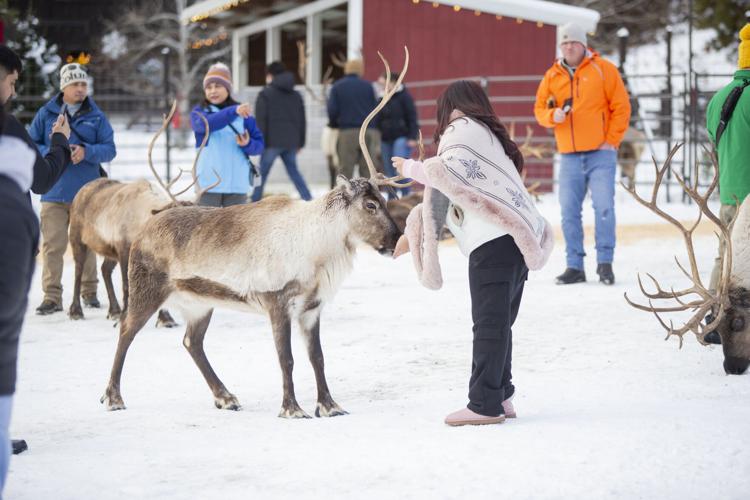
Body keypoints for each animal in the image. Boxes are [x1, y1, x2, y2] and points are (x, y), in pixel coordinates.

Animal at [67, 102, 216, 327]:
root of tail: (82, 190)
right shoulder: (123, 248)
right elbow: (127, 286)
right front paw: (126, 318)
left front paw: (165, 319)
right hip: (77, 237)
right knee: (78, 270)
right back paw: (76, 311)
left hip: (107, 249)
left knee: (104, 270)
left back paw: (113, 310)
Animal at [100, 47, 413, 417]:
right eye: (370, 204)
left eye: (385, 199)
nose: (397, 240)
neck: (317, 248)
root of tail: (146, 226)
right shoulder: (278, 301)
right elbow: (286, 358)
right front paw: (292, 408)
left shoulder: (312, 308)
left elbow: (318, 358)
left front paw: (329, 405)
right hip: (147, 289)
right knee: (126, 330)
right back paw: (113, 397)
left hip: (199, 304)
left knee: (192, 342)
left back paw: (225, 397)